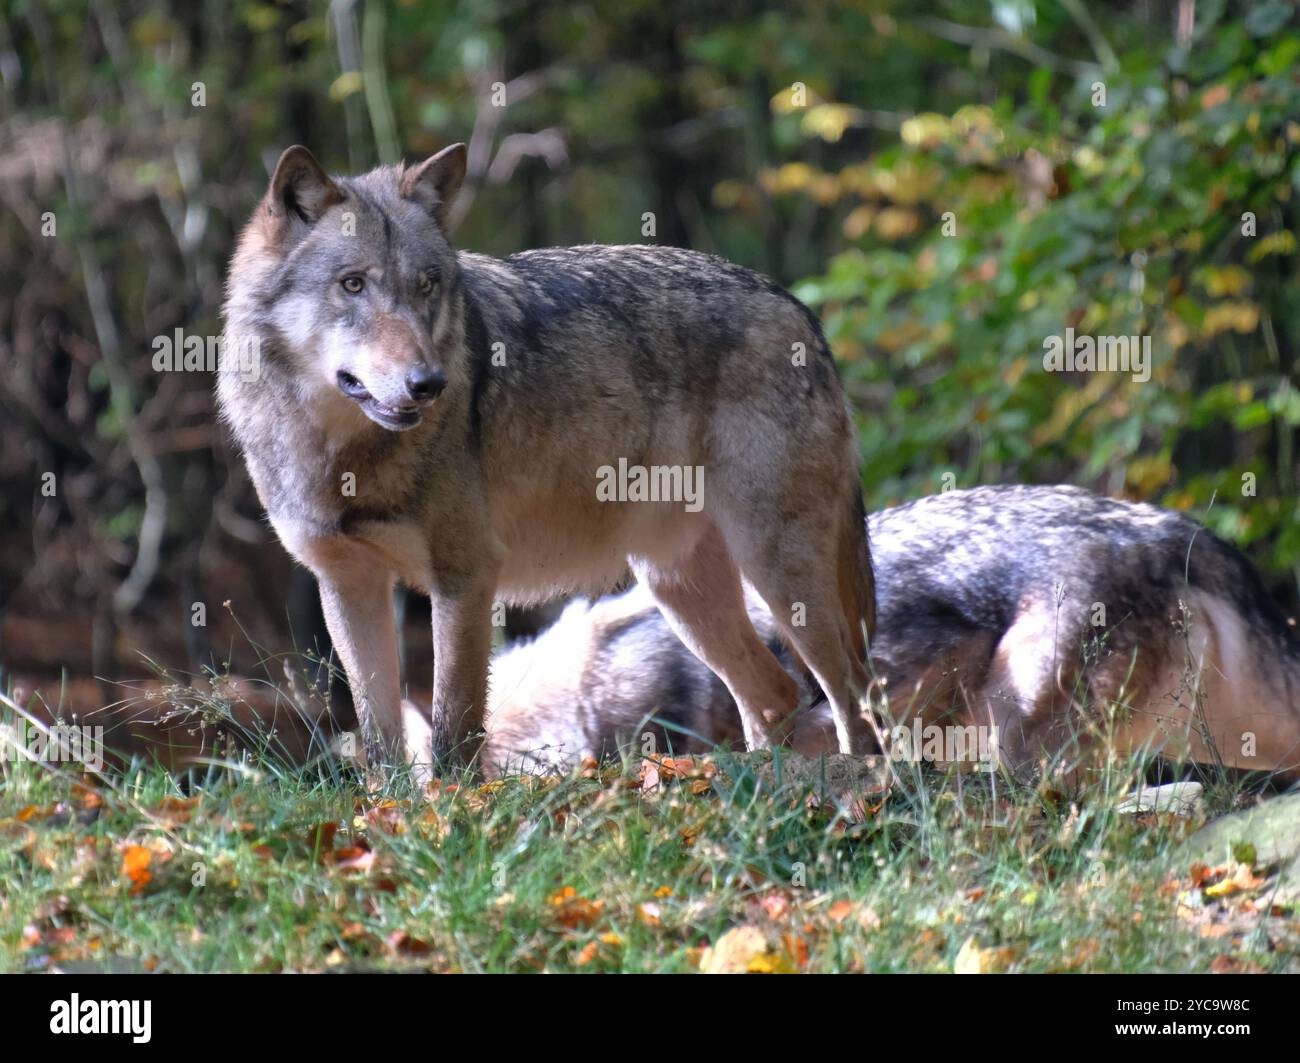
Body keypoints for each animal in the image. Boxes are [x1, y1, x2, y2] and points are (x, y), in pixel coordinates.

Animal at [219, 144, 874, 770]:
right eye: (353, 284)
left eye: (427, 285)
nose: (428, 384)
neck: (341, 451)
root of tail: (798, 307)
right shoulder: (348, 586)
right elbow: (381, 743)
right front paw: (387, 810)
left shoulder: (465, 579)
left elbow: (454, 732)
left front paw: (458, 808)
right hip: (679, 591)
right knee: (776, 698)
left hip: (778, 576)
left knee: (854, 699)